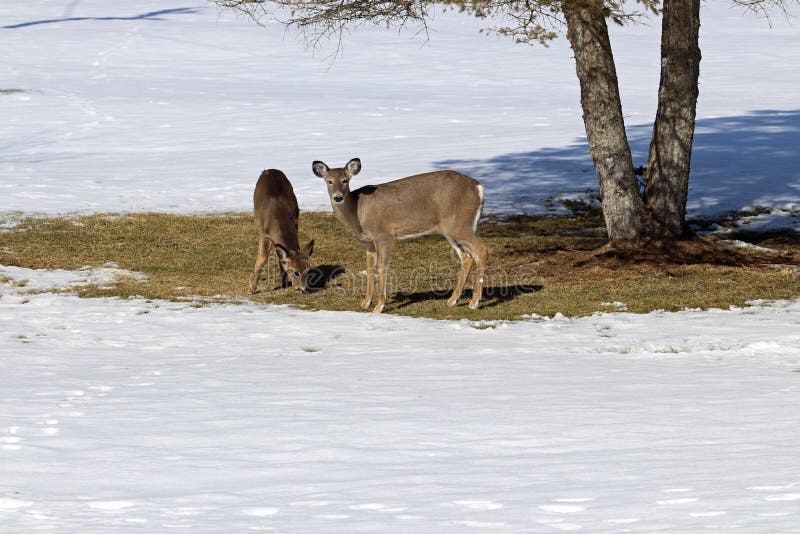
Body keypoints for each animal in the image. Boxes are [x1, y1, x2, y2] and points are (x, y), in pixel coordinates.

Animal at [312, 158, 487, 313]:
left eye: (345, 180)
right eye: (329, 181)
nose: (338, 197)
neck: (358, 212)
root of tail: (478, 187)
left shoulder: (384, 234)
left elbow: (381, 267)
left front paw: (379, 306)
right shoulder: (367, 241)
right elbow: (369, 268)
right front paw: (365, 302)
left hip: (459, 223)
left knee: (481, 249)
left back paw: (474, 302)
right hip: (450, 229)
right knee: (466, 257)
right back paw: (452, 300)